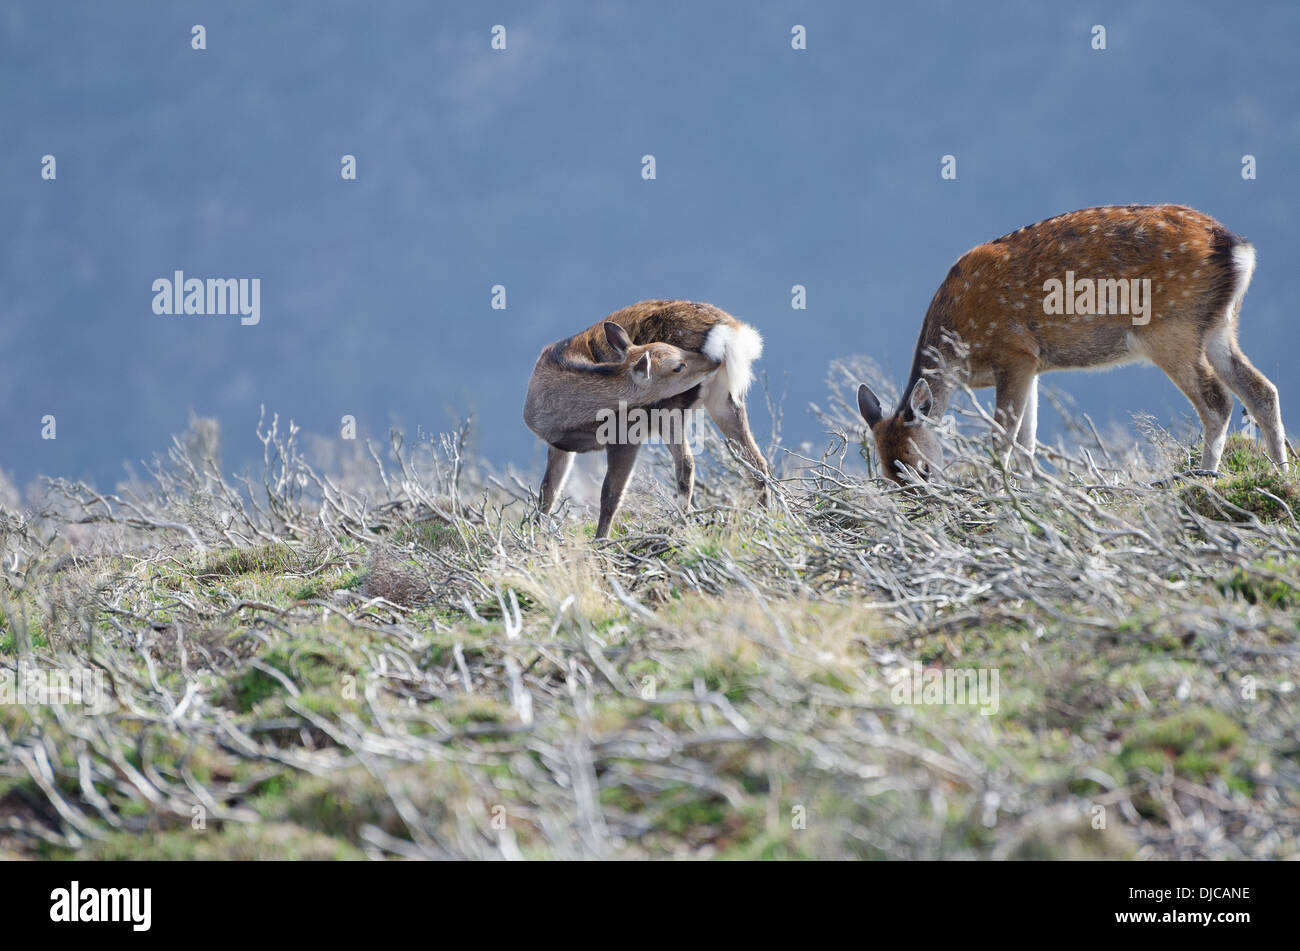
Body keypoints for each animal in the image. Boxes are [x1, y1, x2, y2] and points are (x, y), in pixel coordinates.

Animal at [524, 300, 769, 538]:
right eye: (678, 366)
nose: (713, 361)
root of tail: (730, 333)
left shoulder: (625, 434)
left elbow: (610, 494)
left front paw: (600, 541)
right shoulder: (559, 445)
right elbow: (547, 492)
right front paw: (536, 535)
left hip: (669, 408)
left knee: (686, 464)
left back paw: (681, 524)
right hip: (725, 399)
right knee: (755, 462)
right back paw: (765, 515)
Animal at [856, 204, 1287, 483]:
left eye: (923, 468)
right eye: (887, 475)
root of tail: (1237, 249)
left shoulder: (1014, 353)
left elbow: (1004, 439)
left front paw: (998, 490)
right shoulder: (1032, 365)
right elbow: (1028, 440)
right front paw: (1030, 488)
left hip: (1169, 329)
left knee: (1218, 400)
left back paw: (1206, 475)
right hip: (1218, 326)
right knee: (1261, 390)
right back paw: (1281, 473)